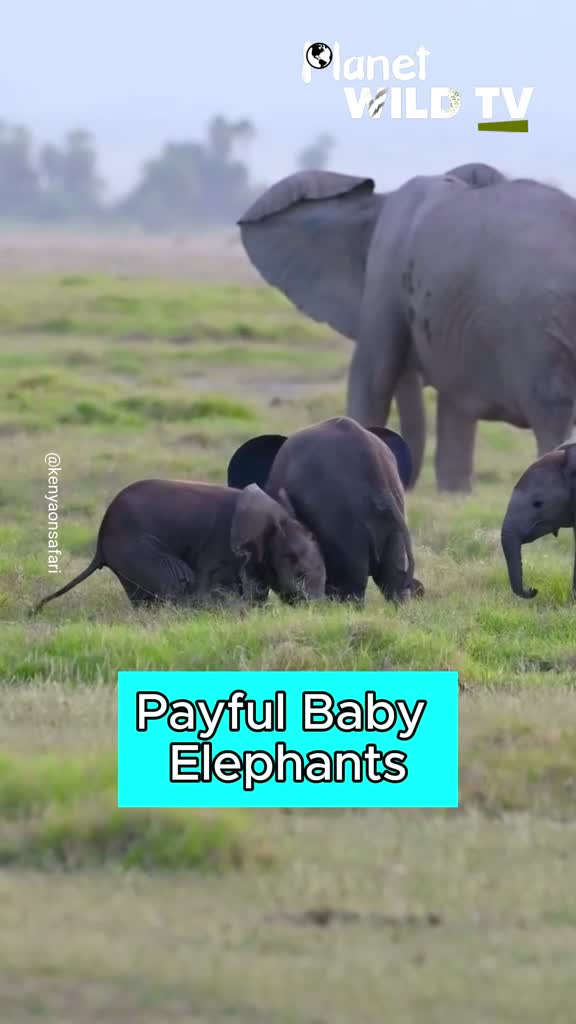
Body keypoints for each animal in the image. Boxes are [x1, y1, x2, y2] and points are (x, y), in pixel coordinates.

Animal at [32, 479, 326, 614]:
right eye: (298, 572)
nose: (315, 607)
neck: (276, 519)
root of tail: (99, 549)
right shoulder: (219, 545)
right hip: (134, 550)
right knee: (175, 581)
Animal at [237, 160, 576, 492]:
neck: (378, 204)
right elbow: (452, 407)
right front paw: (454, 497)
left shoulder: (387, 267)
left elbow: (373, 375)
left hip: (544, 332)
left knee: (551, 416)